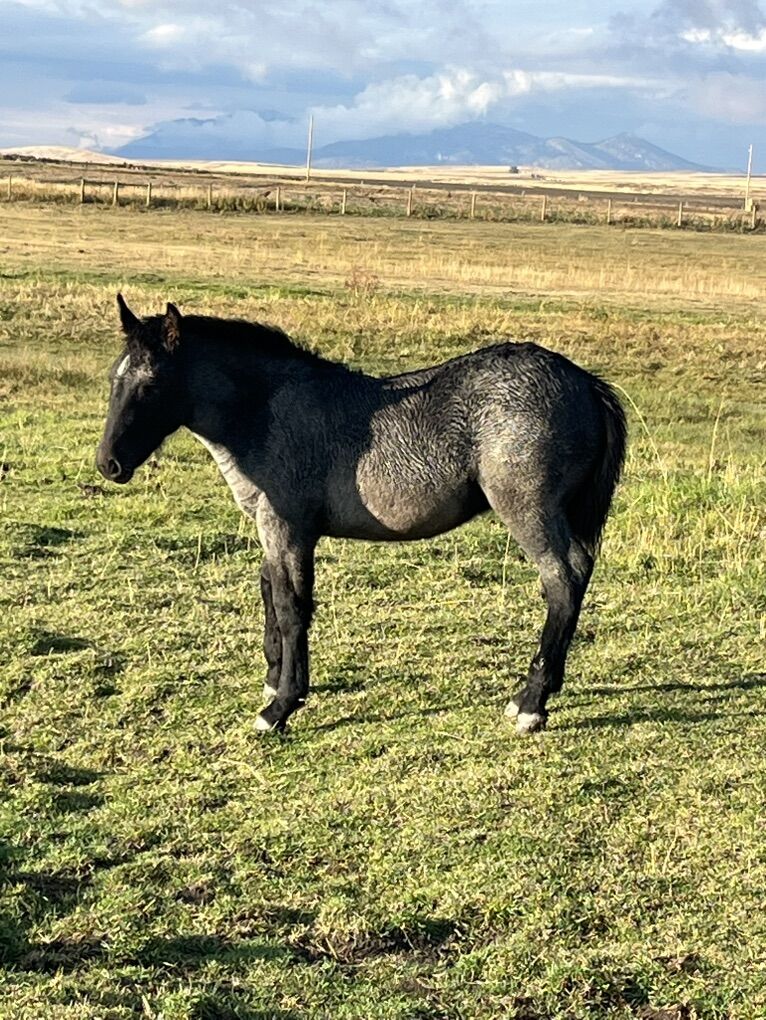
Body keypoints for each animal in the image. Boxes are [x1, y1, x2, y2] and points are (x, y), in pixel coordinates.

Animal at [97, 295, 626, 735]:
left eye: (151, 385)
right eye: (114, 379)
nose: (108, 464)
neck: (265, 411)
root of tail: (583, 381)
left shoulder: (289, 530)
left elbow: (291, 609)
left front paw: (280, 707)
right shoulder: (270, 530)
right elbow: (269, 593)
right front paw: (273, 679)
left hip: (528, 510)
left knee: (564, 579)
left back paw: (531, 704)